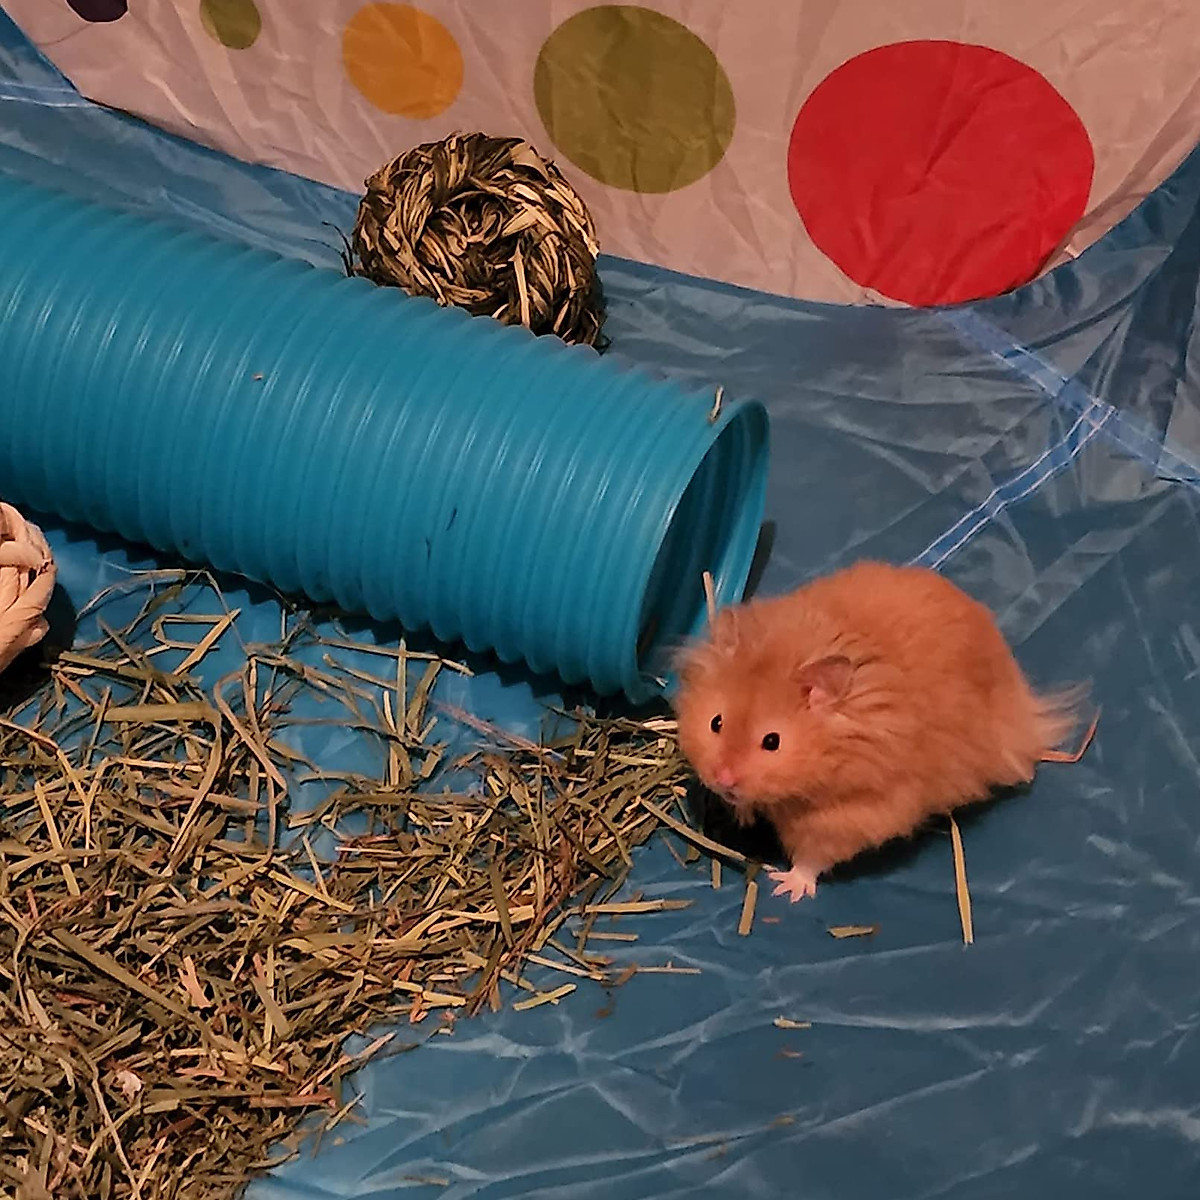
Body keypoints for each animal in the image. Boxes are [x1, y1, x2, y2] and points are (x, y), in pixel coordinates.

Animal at [672, 561, 1090, 902]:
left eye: (772, 742)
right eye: (716, 723)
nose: (723, 779)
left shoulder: (853, 814)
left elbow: (813, 856)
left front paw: (786, 887)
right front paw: (741, 813)